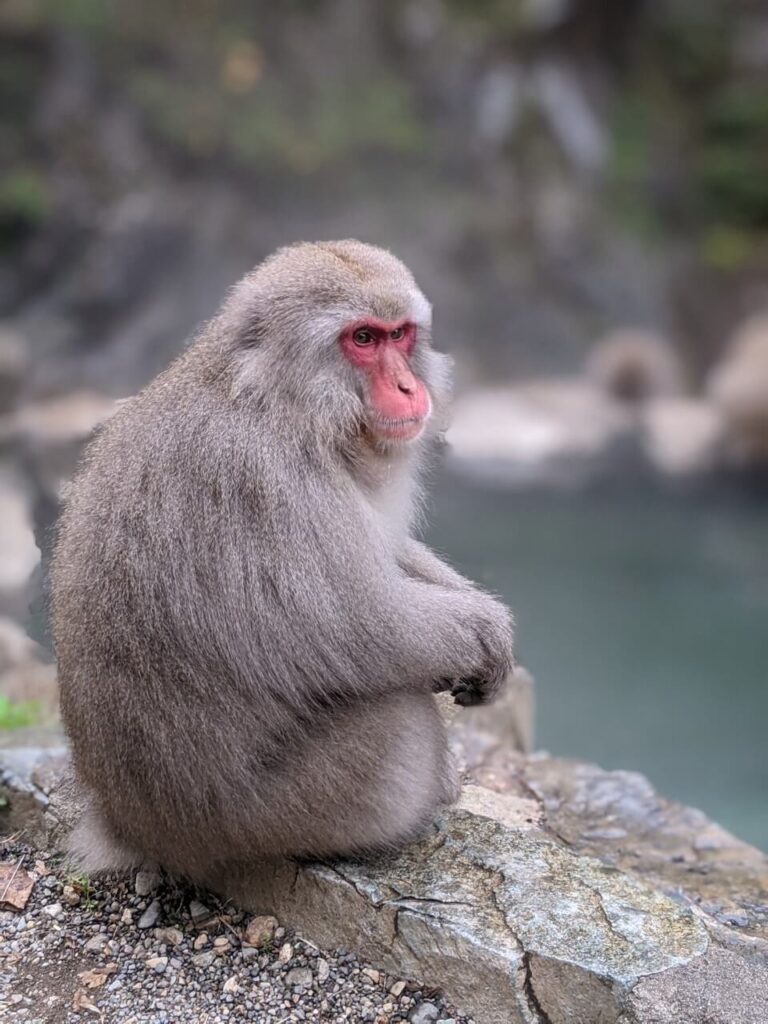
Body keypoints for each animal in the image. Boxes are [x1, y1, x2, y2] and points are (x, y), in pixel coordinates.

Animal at [51, 240, 514, 881]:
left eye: (398, 335)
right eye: (362, 339)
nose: (406, 388)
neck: (285, 404)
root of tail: (127, 824)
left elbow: (384, 555)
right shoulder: (269, 480)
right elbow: (357, 621)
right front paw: (485, 634)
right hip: (254, 817)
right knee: (402, 730)